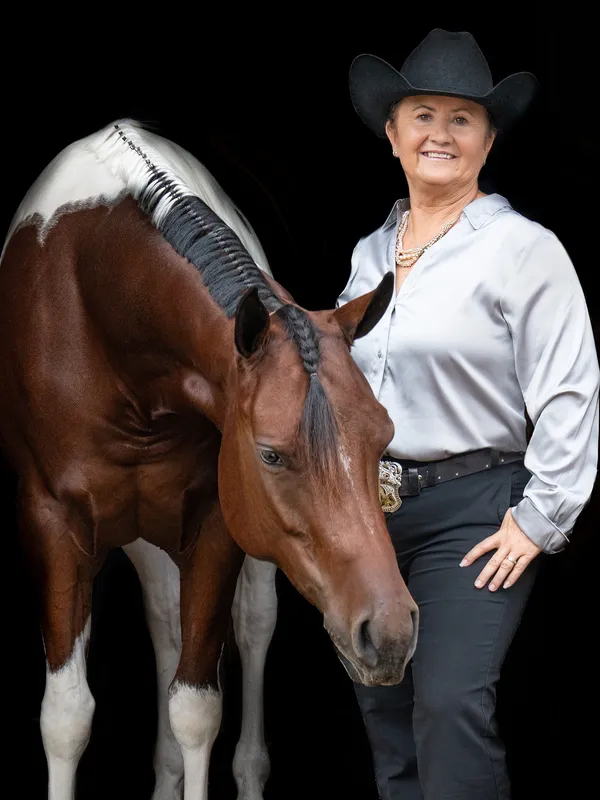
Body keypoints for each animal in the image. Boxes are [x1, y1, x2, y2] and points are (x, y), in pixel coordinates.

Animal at [0, 118, 418, 800]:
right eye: (271, 455)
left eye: (383, 436)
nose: (390, 635)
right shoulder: (50, 520)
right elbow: (65, 717)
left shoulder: (217, 521)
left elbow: (196, 708)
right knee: (164, 620)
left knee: (250, 627)